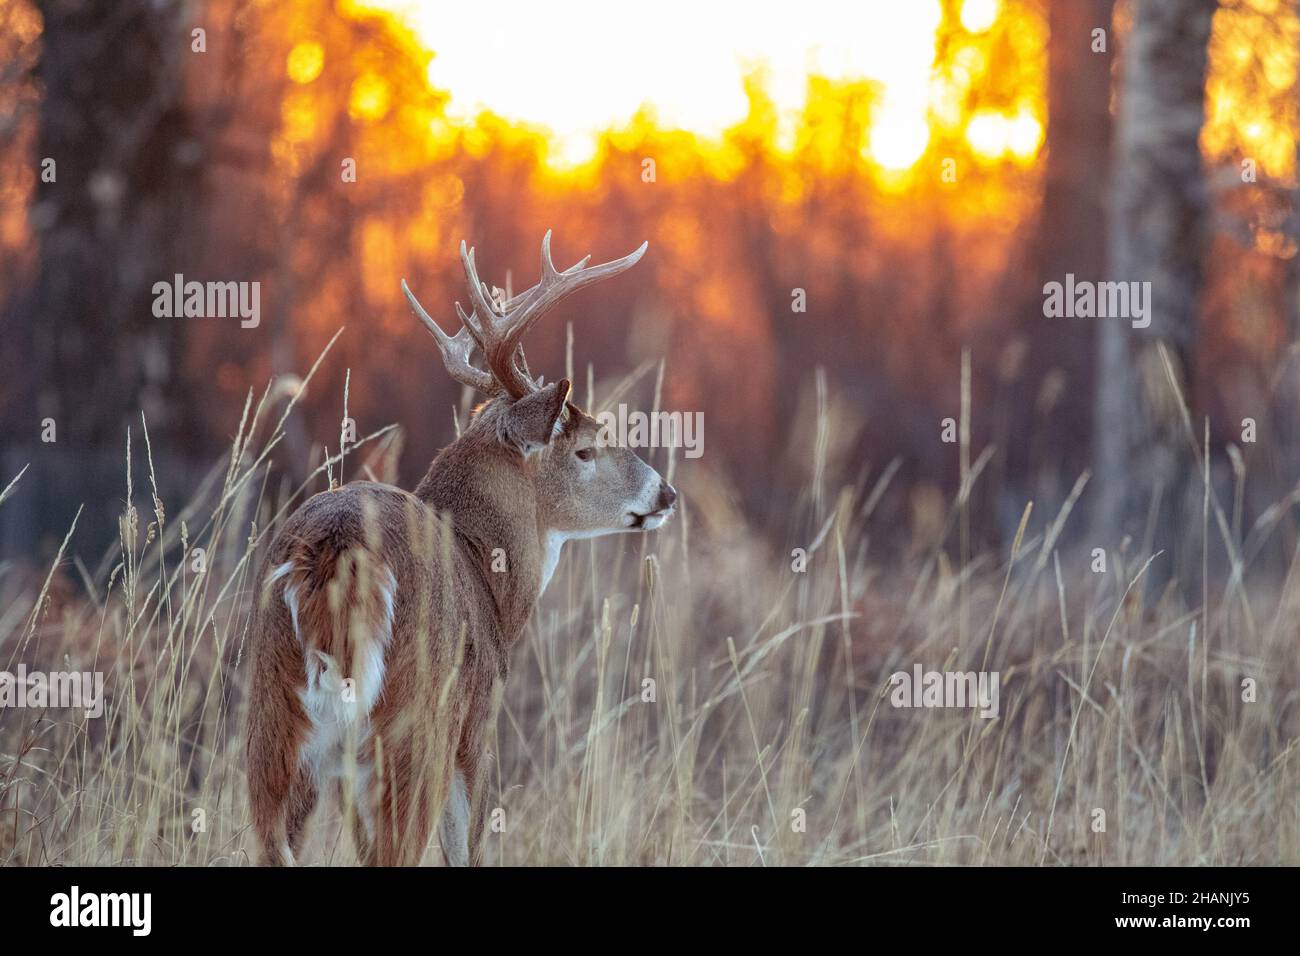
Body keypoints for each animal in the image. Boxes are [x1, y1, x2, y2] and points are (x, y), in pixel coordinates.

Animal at [244, 232, 676, 866]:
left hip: (272, 732)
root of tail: (337, 554)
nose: (665, 492)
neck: (485, 571)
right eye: (587, 448)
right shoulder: (477, 731)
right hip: (412, 731)